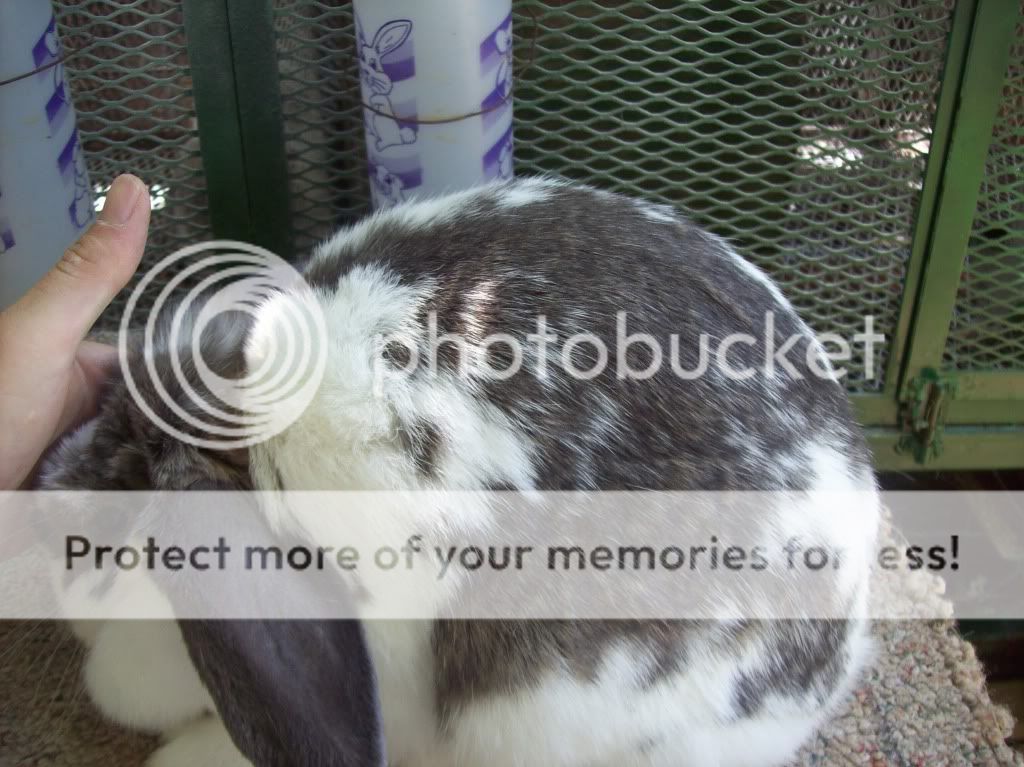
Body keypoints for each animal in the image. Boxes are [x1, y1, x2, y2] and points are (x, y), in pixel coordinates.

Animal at [357, 18, 417, 152]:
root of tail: (400, 136)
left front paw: (374, 99)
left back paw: (382, 145)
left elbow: (379, 99)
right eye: (360, 57)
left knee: (392, 141)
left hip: (380, 122)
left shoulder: (383, 99)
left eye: (373, 64)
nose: (365, 72)